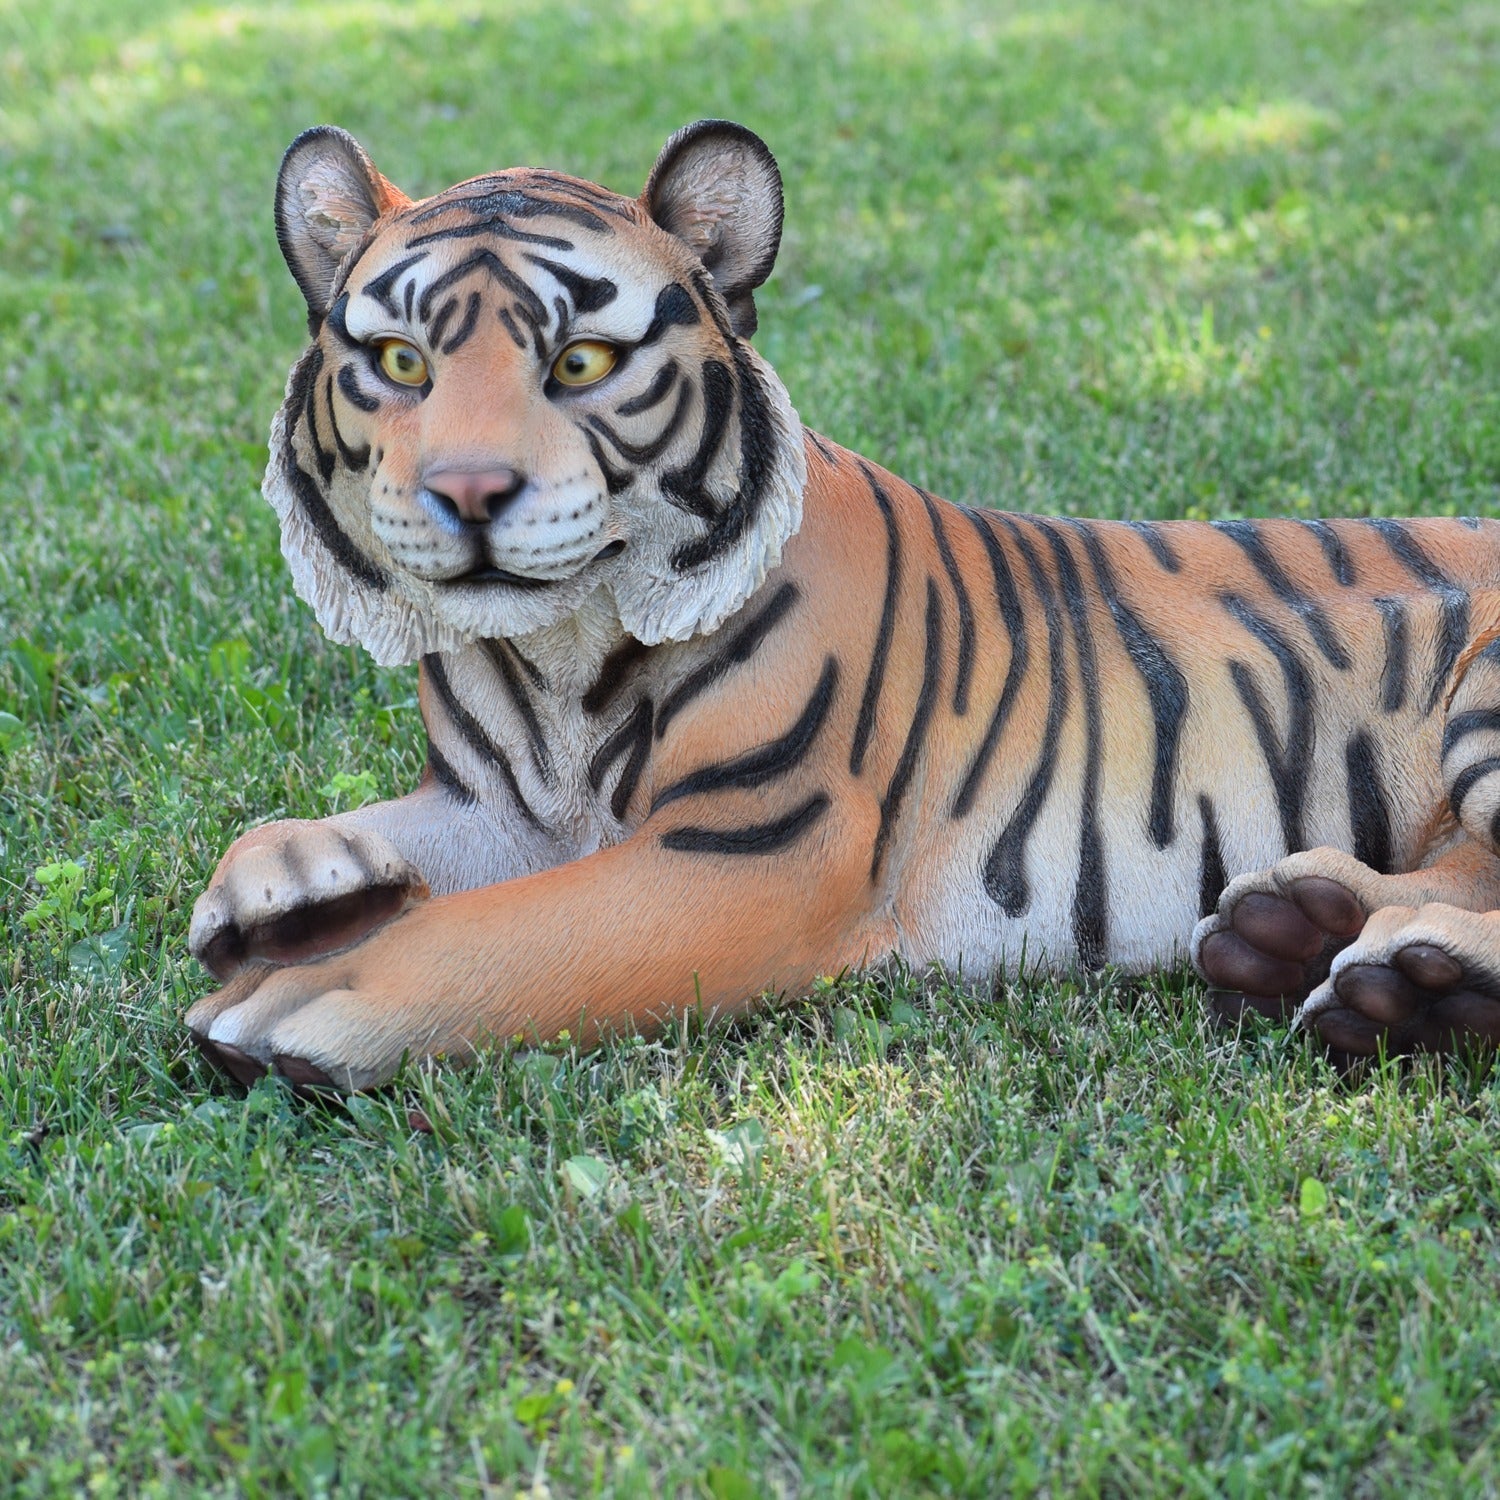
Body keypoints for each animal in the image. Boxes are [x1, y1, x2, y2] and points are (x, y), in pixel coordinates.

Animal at [187, 119, 1500, 1092]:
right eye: (401, 364)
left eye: (580, 363)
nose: (465, 492)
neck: (553, 655)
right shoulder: (500, 810)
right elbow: (330, 838)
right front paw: (280, 890)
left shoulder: (754, 850)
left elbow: (498, 934)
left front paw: (302, 994)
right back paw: (1308, 938)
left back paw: (1409, 983)